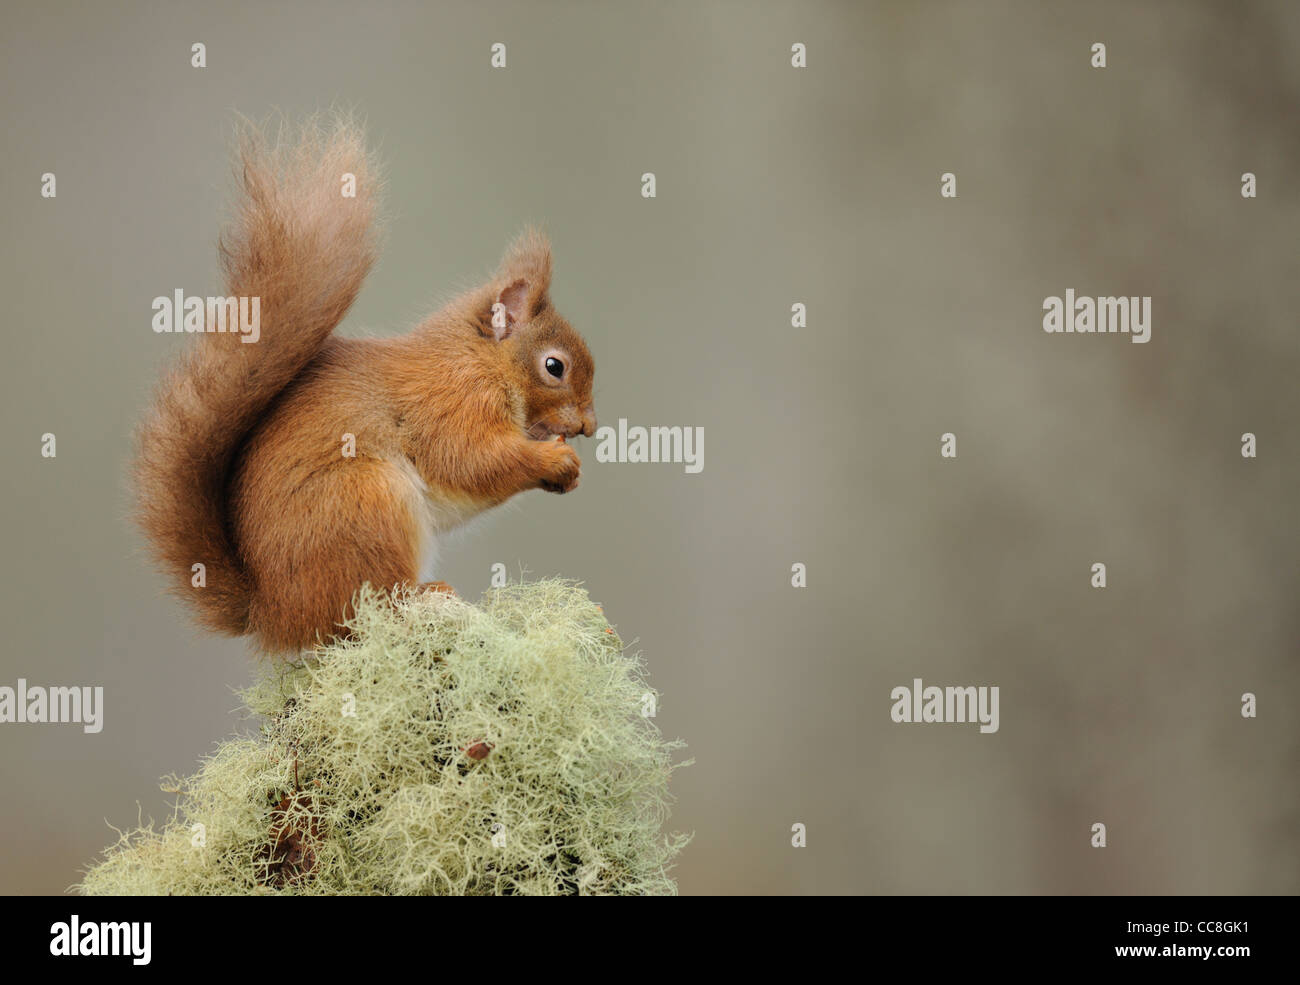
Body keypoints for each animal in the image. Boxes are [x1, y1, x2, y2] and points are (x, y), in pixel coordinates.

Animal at [134, 116, 596, 655]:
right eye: (554, 367)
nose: (589, 426)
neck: (481, 359)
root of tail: (273, 615)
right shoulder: (454, 402)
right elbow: (470, 459)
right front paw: (555, 461)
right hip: (368, 502)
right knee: (362, 614)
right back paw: (420, 596)